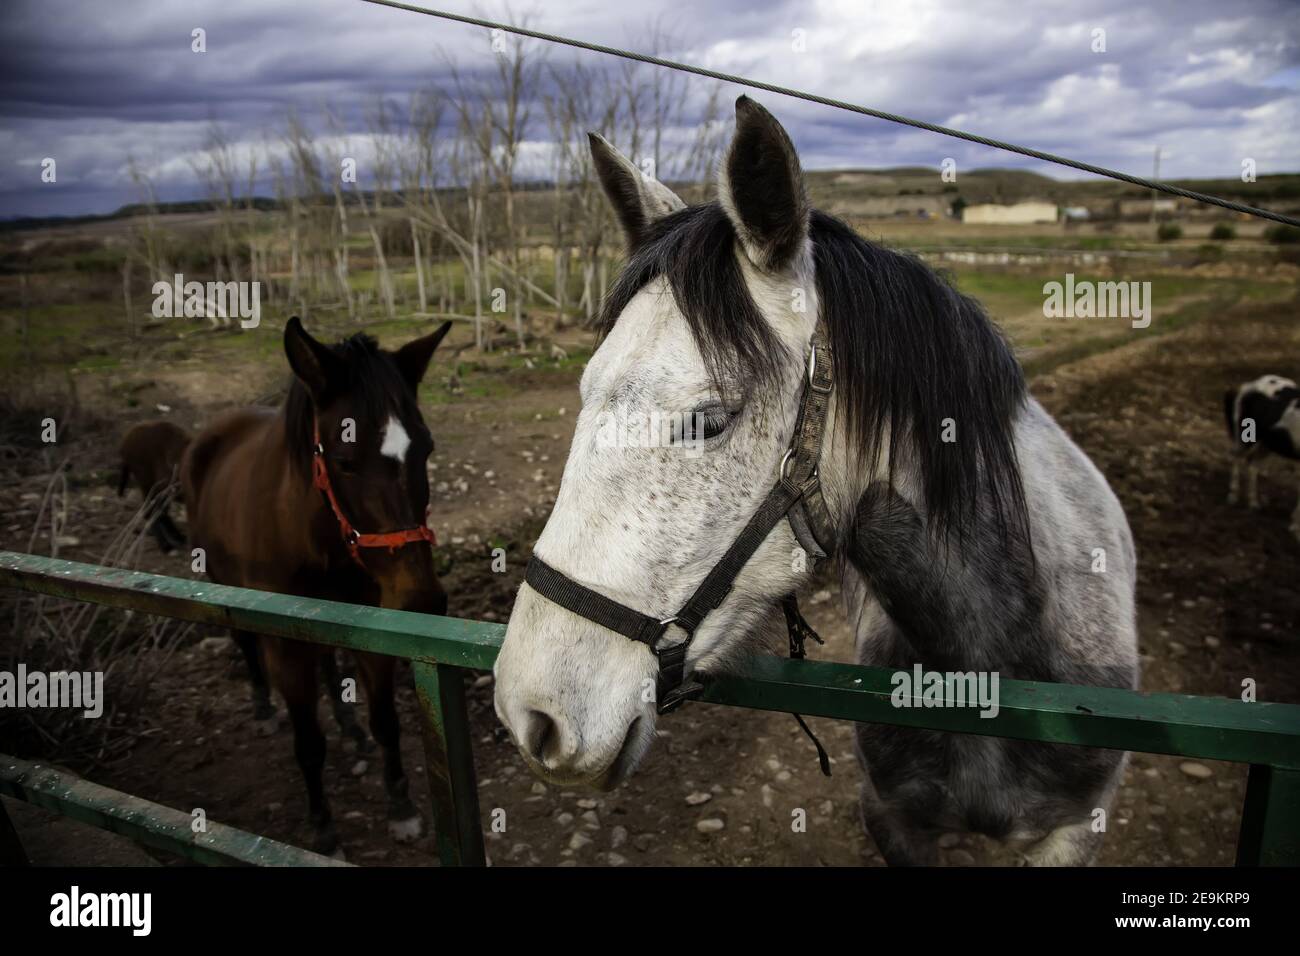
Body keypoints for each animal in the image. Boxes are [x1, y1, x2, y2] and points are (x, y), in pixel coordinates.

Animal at [117, 420, 191, 552]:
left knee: (159, 511)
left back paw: (177, 538)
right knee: (150, 511)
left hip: (158, 488)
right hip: (147, 481)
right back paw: (166, 546)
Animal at [181, 317, 451, 855]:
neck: (314, 535)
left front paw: (401, 806)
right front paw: (323, 828)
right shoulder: (284, 646)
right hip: (221, 584)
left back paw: (350, 729)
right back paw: (264, 707)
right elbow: (308, 743)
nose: (422, 599)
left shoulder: (370, 627)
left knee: (327, 658)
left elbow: (386, 722)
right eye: (345, 460)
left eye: (426, 449)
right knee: (245, 644)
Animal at [492, 97, 1139, 866]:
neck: (993, 668)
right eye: (584, 392)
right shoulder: (892, 818)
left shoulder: (1076, 830)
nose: (531, 713)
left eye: (708, 419)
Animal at [1224, 374, 1300, 540]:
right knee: (1237, 457)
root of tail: (1248, 384)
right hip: (1245, 436)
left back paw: (1254, 503)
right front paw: (1295, 528)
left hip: (1266, 443)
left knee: (1253, 464)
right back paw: (1233, 497)